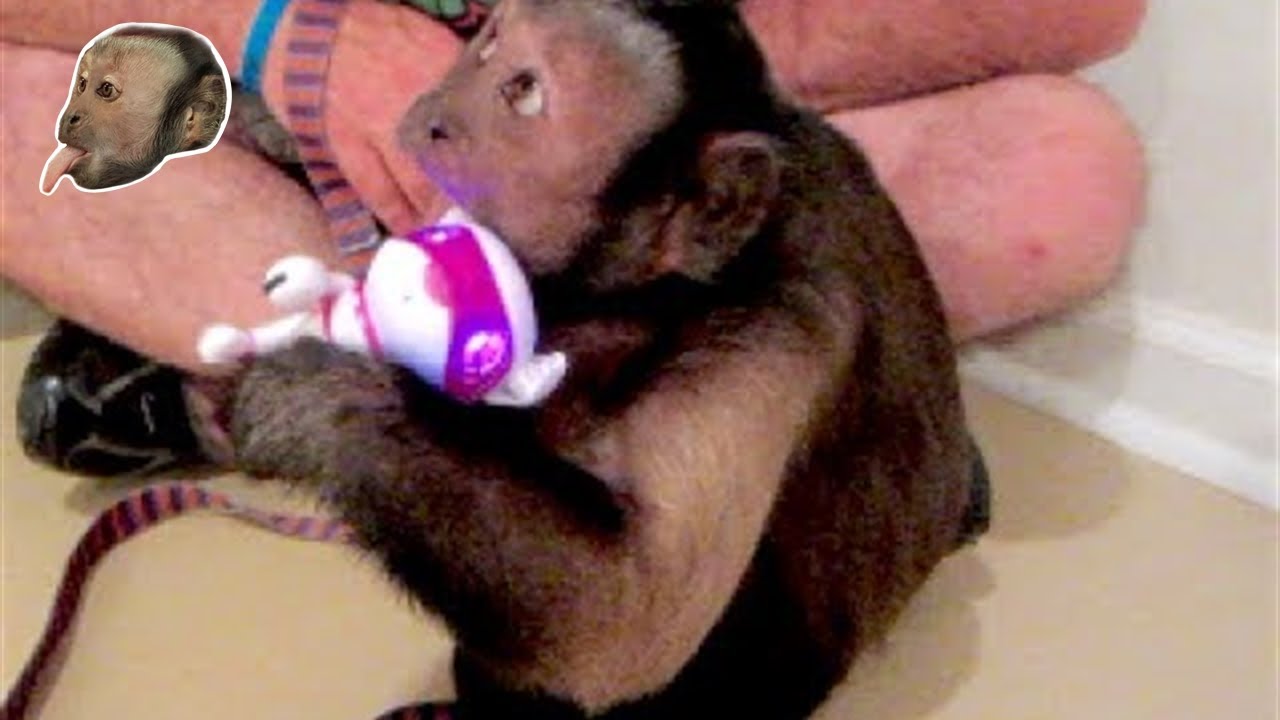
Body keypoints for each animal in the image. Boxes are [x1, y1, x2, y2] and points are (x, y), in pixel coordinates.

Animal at [228, 0, 988, 717]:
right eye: (489, 46)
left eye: (524, 93)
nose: (436, 118)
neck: (671, 289)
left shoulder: (778, 328)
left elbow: (624, 620)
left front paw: (318, 398)